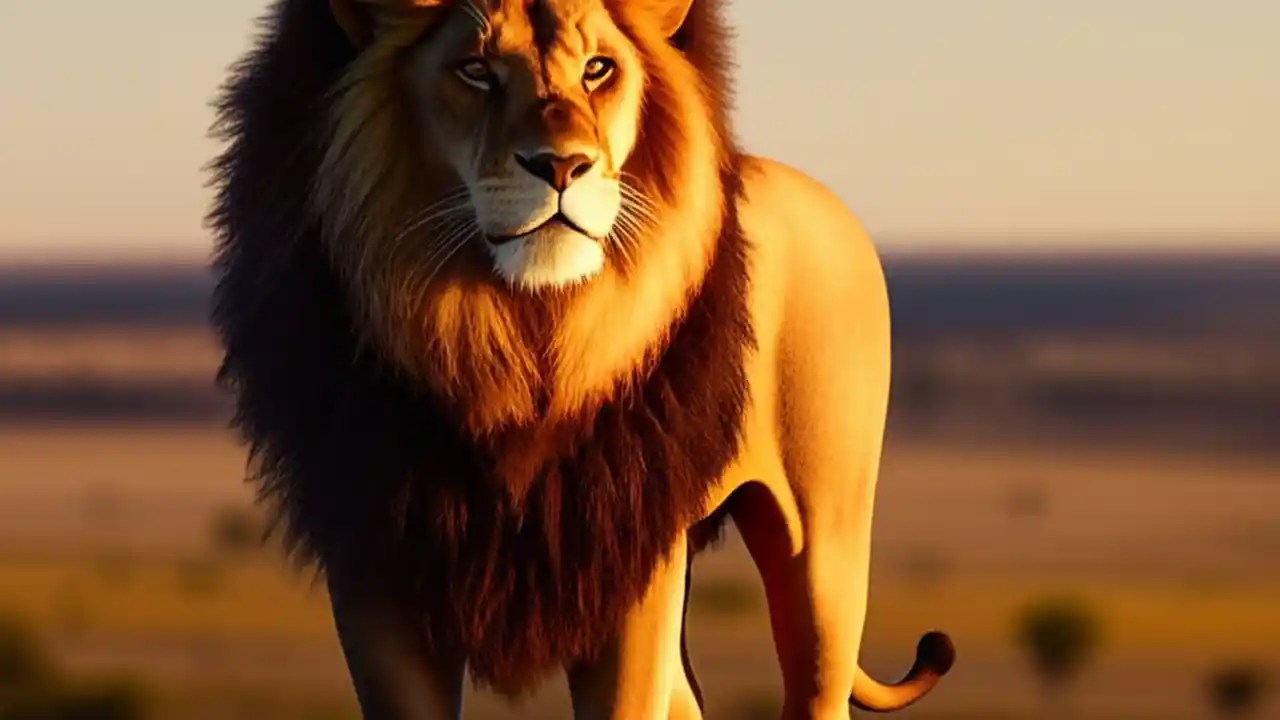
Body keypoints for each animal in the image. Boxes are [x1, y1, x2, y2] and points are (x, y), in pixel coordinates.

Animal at [207, 0, 954, 717]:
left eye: (598, 70)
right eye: (476, 70)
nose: (562, 167)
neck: (519, 335)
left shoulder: (624, 549)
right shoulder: (375, 560)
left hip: (821, 552)